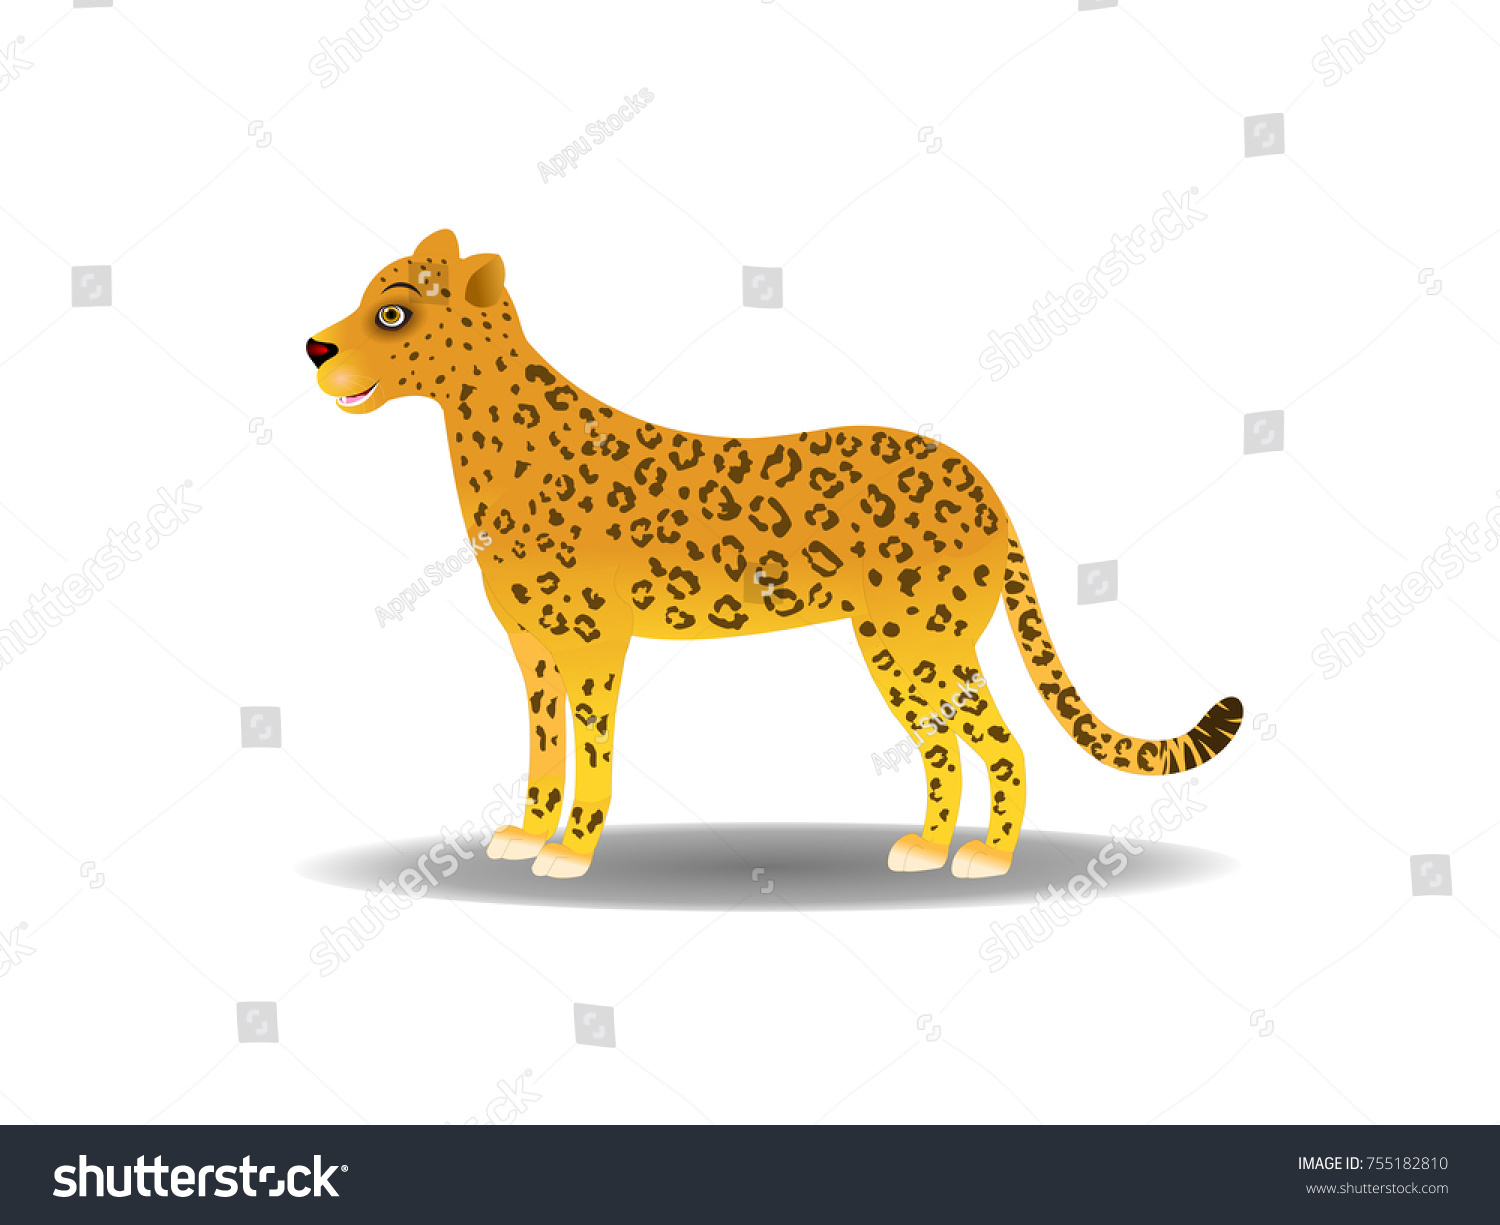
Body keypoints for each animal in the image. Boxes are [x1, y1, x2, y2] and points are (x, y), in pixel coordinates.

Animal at [307, 230, 1241, 880]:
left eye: (393, 312)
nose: (316, 348)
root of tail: (975, 476)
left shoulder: (593, 647)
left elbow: (593, 752)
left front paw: (570, 851)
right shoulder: (533, 651)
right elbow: (543, 748)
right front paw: (528, 832)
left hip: (913, 645)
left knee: (999, 744)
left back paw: (987, 858)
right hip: (918, 650)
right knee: (946, 749)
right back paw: (927, 846)